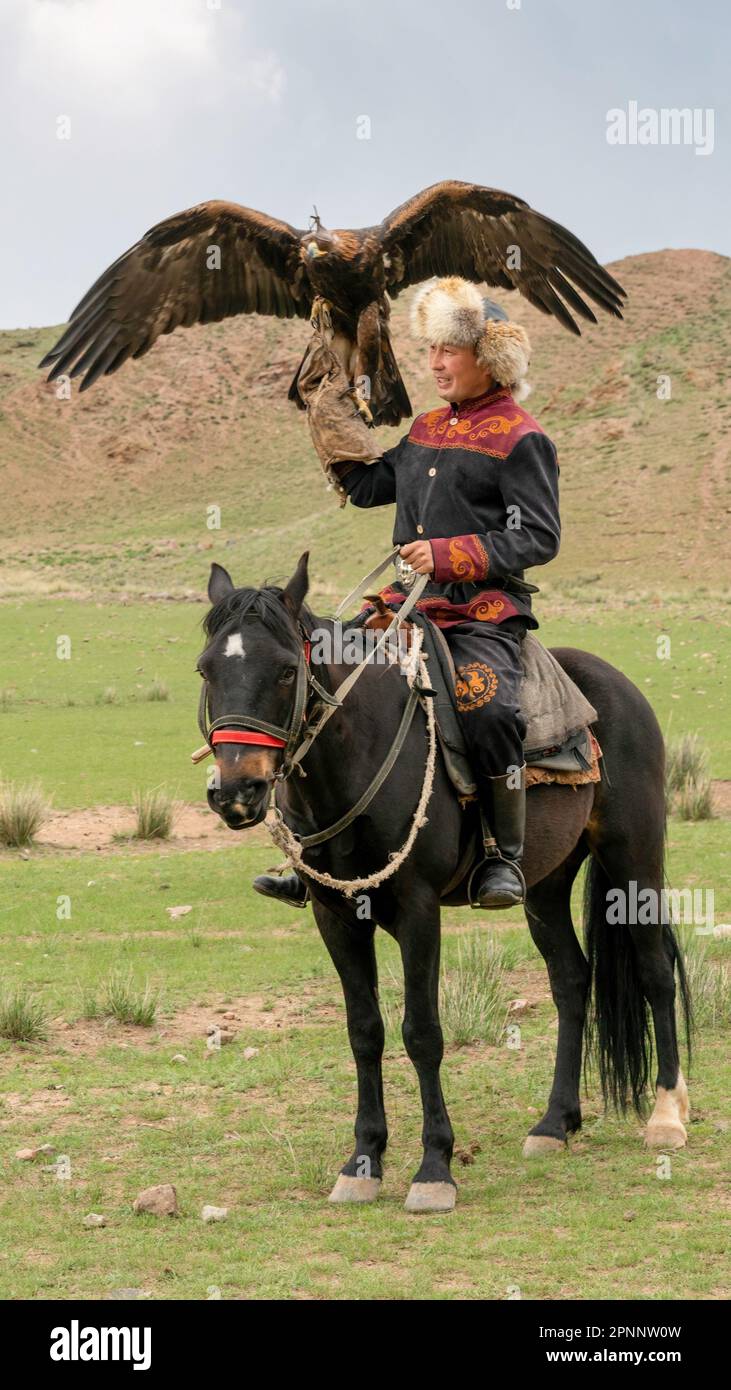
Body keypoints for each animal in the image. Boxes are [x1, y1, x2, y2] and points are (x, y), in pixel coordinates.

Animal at [195, 551, 691, 1213]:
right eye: (206, 668)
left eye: (283, 670)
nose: (236, 791)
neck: (359, 751)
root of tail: (617, 687)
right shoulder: (335, 915)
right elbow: (364, 1031)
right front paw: (363, 1161)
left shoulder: (418, 909)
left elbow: (423, 1033)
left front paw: (434, 1168)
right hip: (546, 885)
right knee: (570, 980)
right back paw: (555, 1123)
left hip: (633, 859)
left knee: (655, 970)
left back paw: (666, 1115)